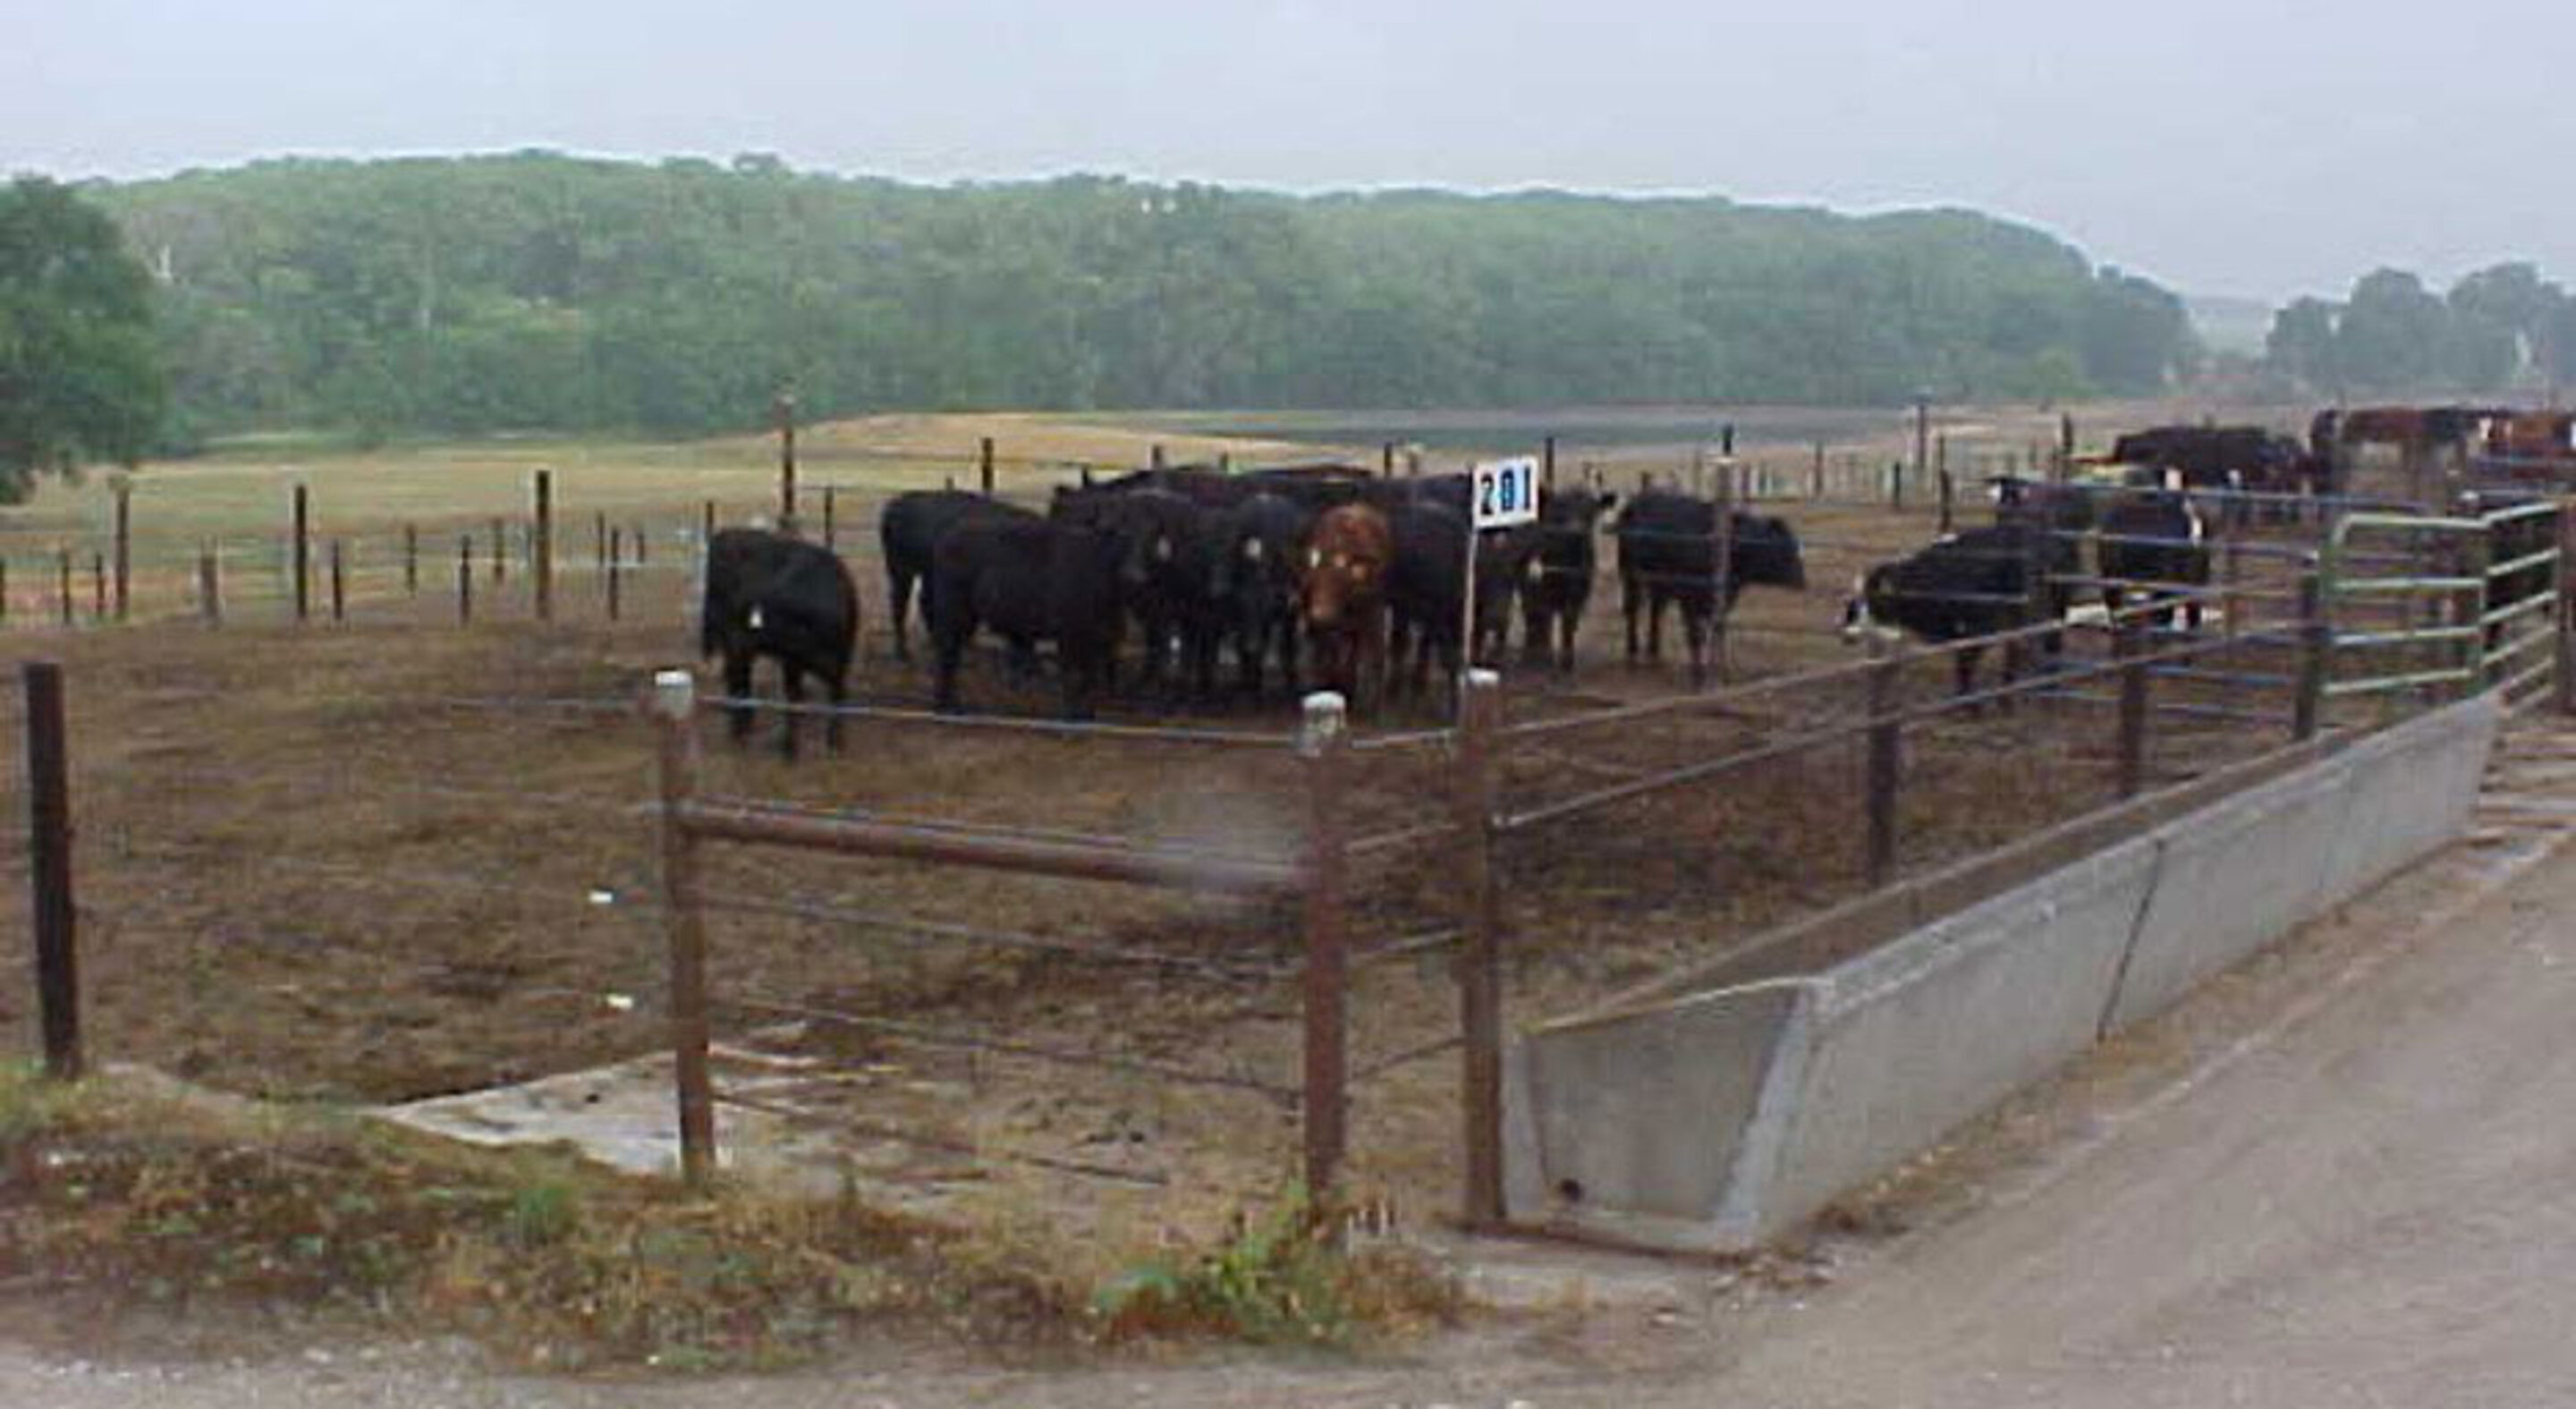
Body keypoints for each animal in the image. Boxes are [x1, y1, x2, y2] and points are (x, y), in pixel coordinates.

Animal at [699, 527, 860, 758]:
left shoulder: (840, 661)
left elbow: (837, 696)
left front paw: (834, 742)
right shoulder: (791, 659)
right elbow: (793, 698)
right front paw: (789, 747)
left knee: (740, 677)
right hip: (737, 643)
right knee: (737, 679)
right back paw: (740, 727)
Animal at [878, 490, 1037, 662]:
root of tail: (895, 507)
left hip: (921, 573)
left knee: (921, 601)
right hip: (903, 572)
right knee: (901, 604)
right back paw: (904, 652)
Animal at [927, 517, 1125, 720]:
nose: (1132, 573)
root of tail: (946, 539)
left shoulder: (1097, 641)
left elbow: (1089, 677)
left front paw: (1086, 714)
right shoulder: (1071, 636)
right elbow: (1074, 675)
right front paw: (1073, 716)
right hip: (955, 617)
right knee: (948, 654)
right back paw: (947, 707)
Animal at [1520, 486, 1618, 675]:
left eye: (1590, 510)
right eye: (1560, 508)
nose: (1576, 530)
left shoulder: (1578, 594)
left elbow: (1569, 623)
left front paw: (1567, 662)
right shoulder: (1542, 592)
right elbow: (1545, 619)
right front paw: (1546, 659)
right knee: (1532, 616)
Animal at [1614, 488, 1808, 686]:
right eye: (1783, 548)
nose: (1802, 581)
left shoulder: (1721, 599)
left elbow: (1714, 629)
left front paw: (1717, 672)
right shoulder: (1689, 597)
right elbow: (1696, 635)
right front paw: (1698, 675)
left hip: (1658, 582)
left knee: (1655, 610)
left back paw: (1654, 651)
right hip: (1629, 573)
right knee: (1632, 608)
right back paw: (1633, 650)